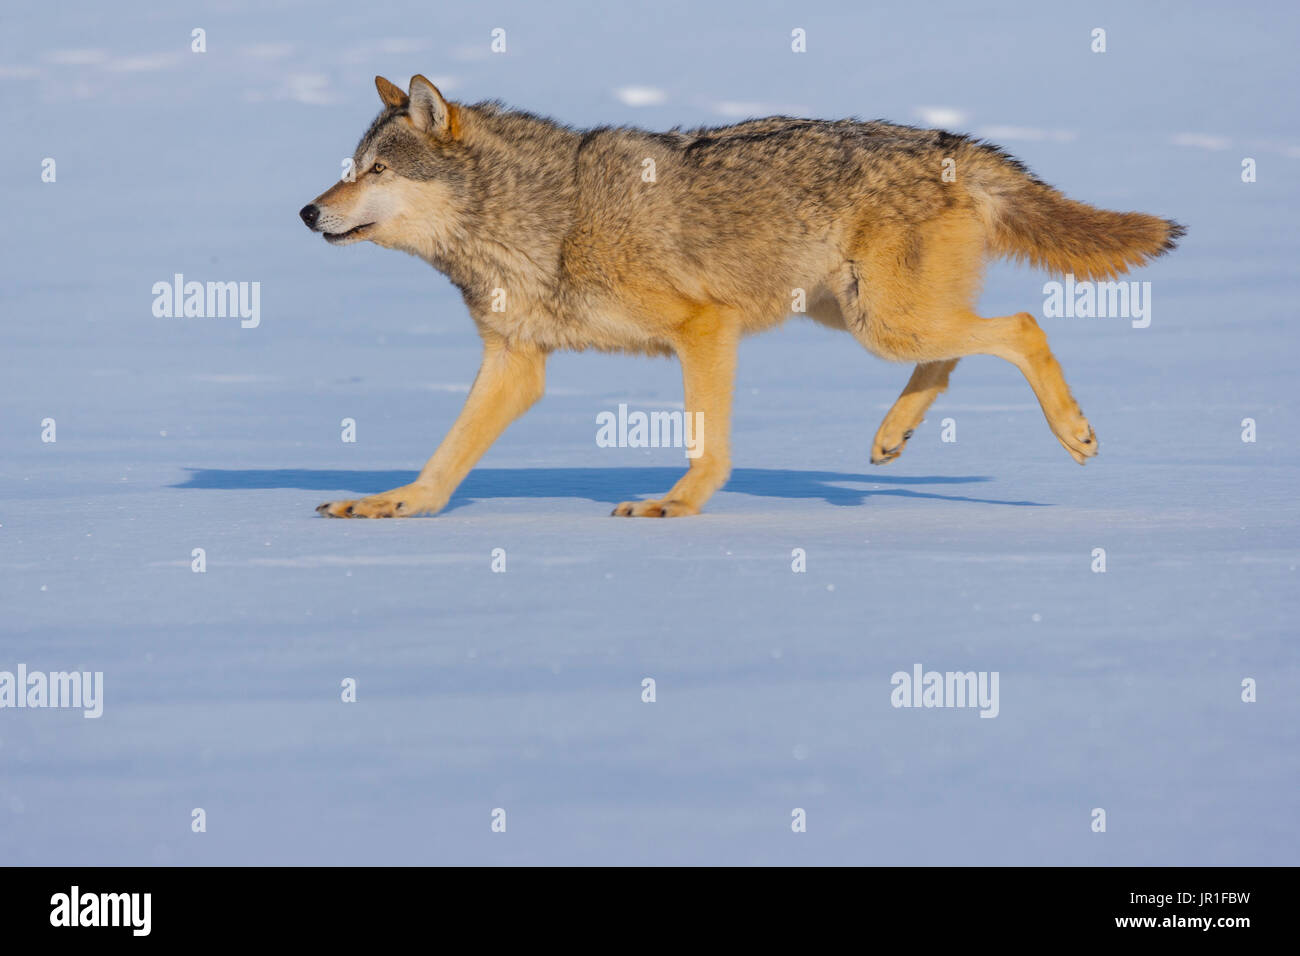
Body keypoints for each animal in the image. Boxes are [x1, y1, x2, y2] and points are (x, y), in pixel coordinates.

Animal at [299, 74, 1183, 518]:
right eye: (349, 170)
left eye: (375, 172)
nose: (307, 212)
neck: (542, 219)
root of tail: (948, 139)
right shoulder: (517, 364)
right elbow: (447, 455)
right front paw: (401, 503)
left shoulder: (703, 326)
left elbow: (706, 443)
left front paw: (679, 504)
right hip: (861, 317)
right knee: (963, 352)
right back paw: (891, 439)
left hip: (883, 321)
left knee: (1024, 325)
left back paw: (1073, 434)